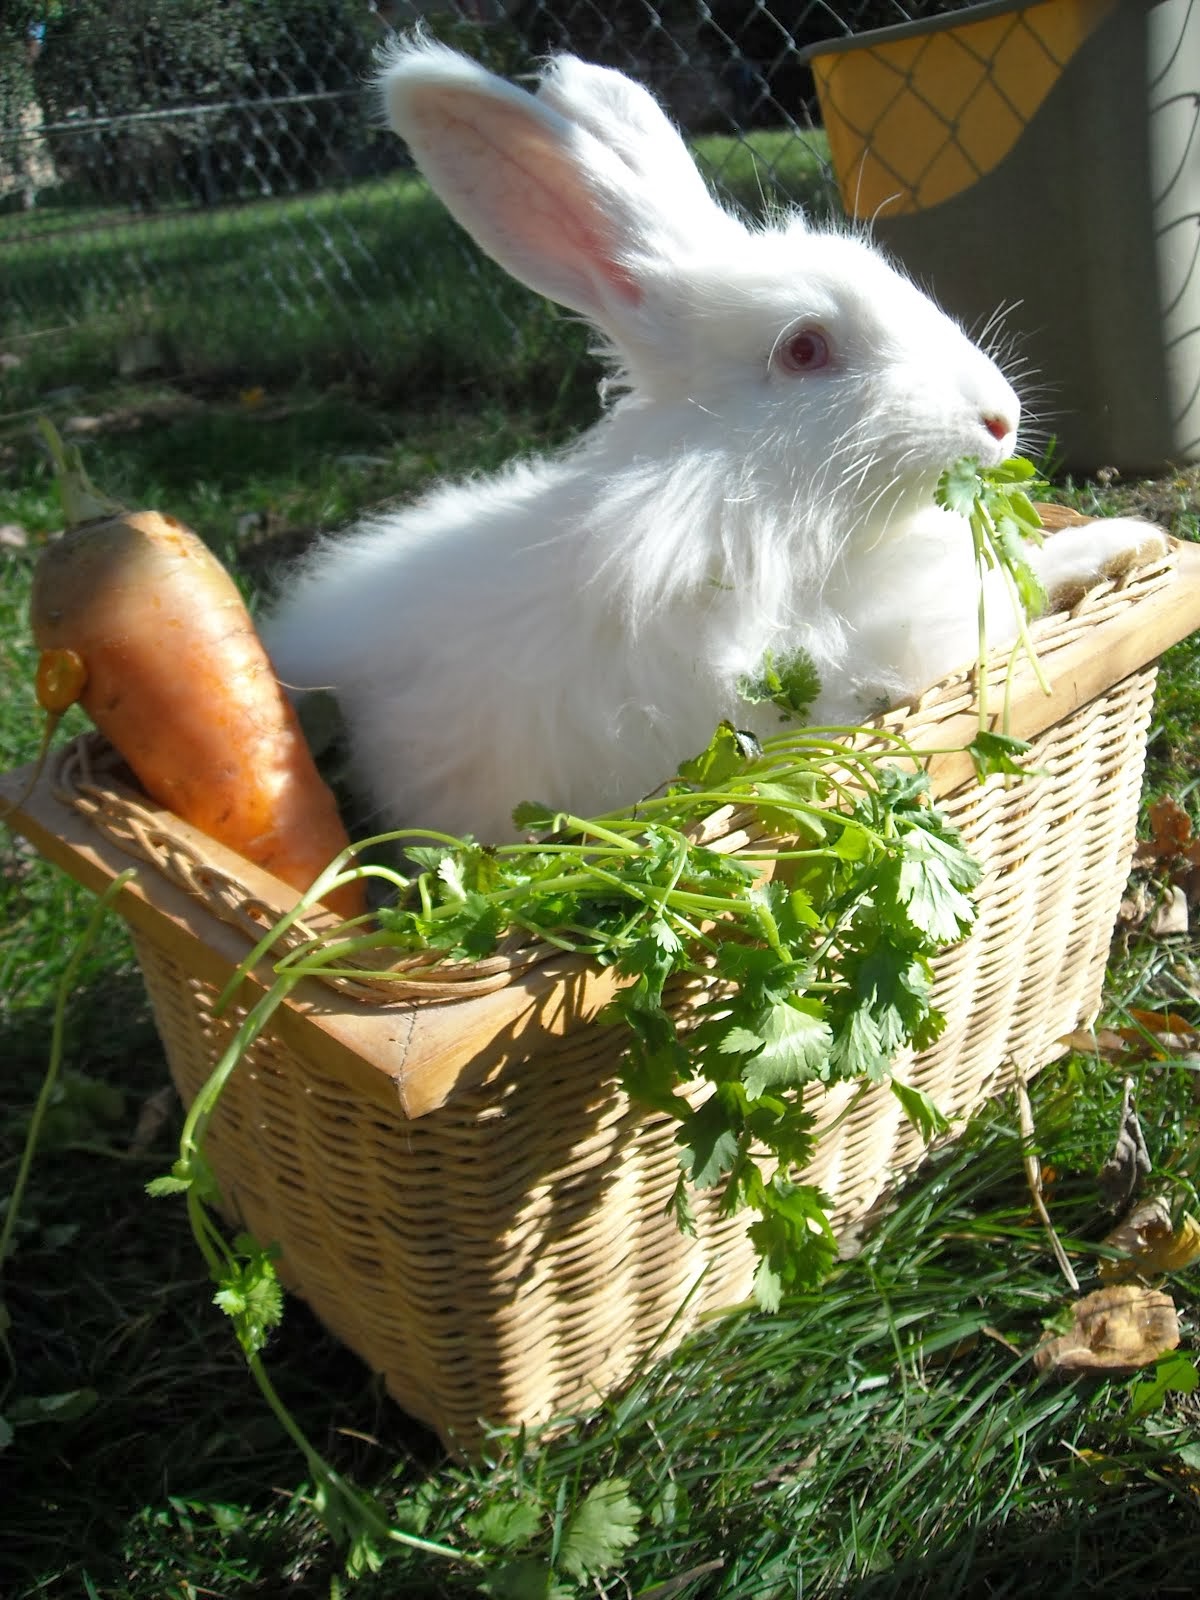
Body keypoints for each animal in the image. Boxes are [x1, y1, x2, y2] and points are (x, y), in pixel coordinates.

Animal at [263, 39, 1168, 843]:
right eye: (804, 350)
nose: (1001, 418)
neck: (727, 502)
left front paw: (1126, 544)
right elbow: (993, 614)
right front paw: (1118, 547)